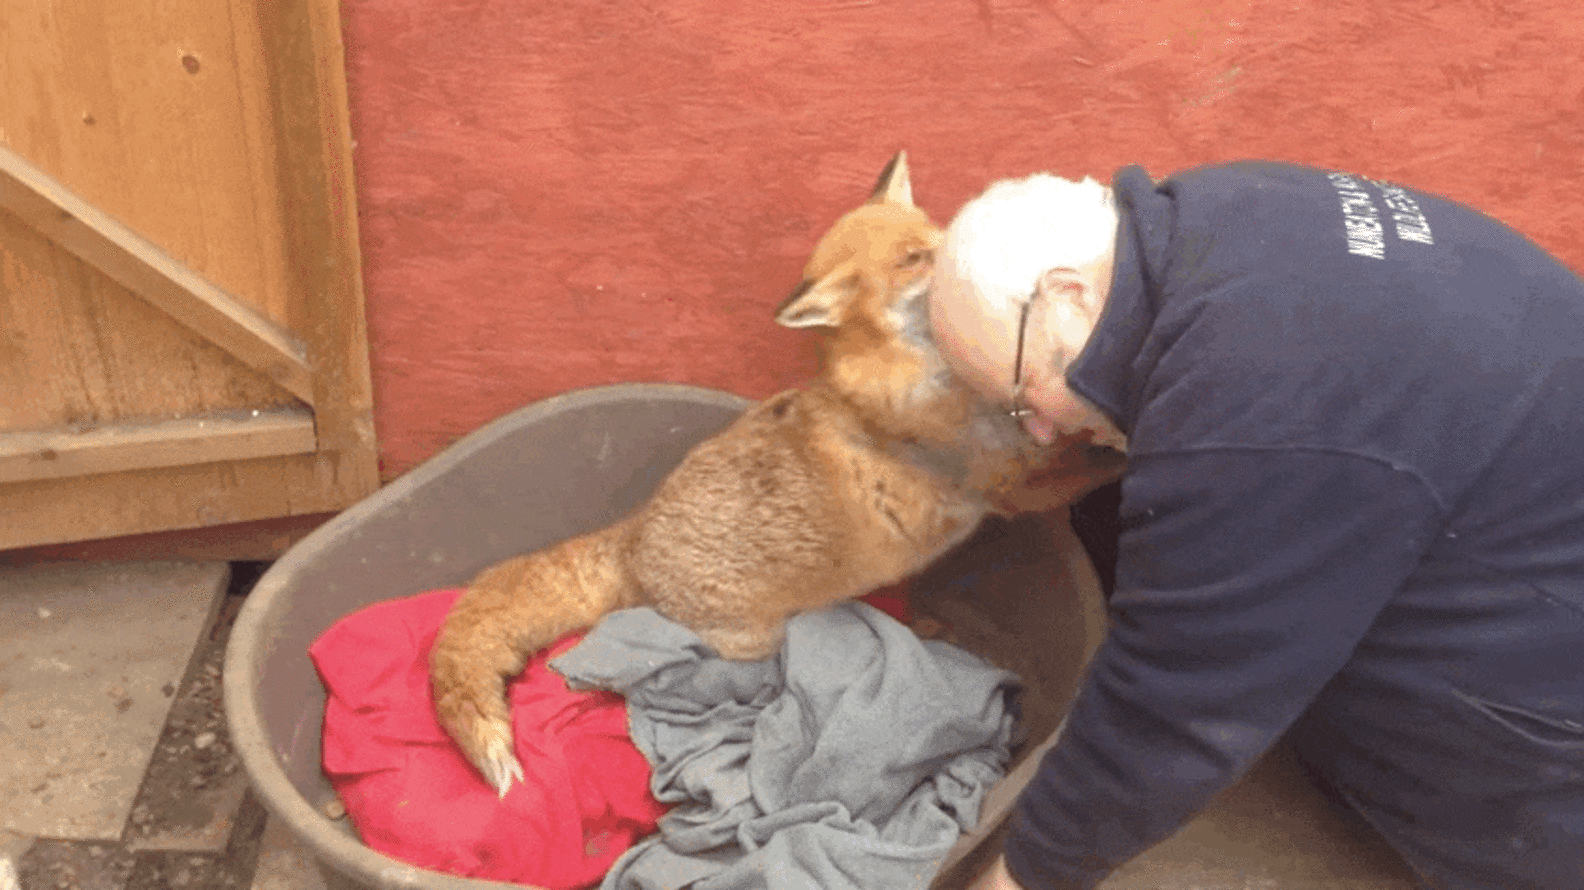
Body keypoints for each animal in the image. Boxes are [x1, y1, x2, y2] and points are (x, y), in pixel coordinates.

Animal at [429, 152, 1126, 797]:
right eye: (912, 260)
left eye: (932, 227)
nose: (958, 247)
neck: (923, 374)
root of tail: (635, 533)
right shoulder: (1005, 483)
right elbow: (1096, 465)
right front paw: (1124, 446)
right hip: (756, 641)